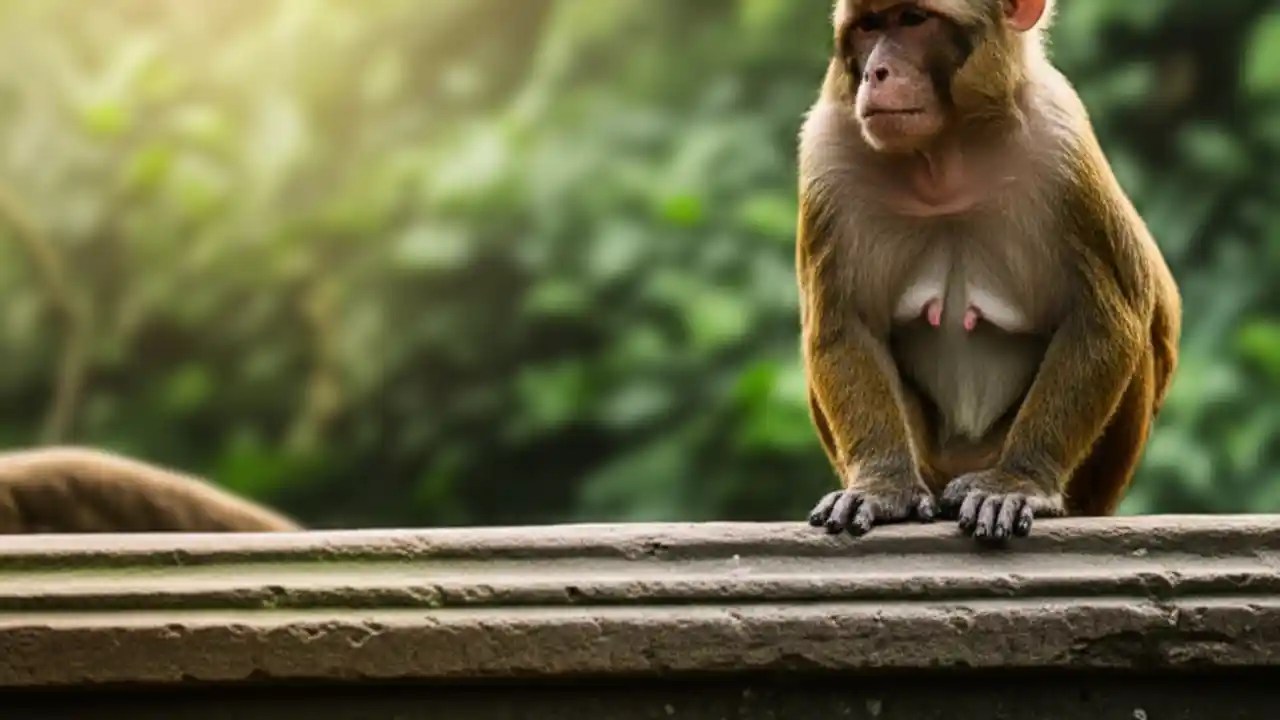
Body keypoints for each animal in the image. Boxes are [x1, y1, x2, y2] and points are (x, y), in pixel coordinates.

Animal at [798, 0, 1181, 541]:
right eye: (869, 26)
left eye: (913, 19)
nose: (876, 72)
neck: (945, 157)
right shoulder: (829, 152)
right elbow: (844, 326)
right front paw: (883, 485)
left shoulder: (1060, 140)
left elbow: (1107, 318)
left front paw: (1017, 483)